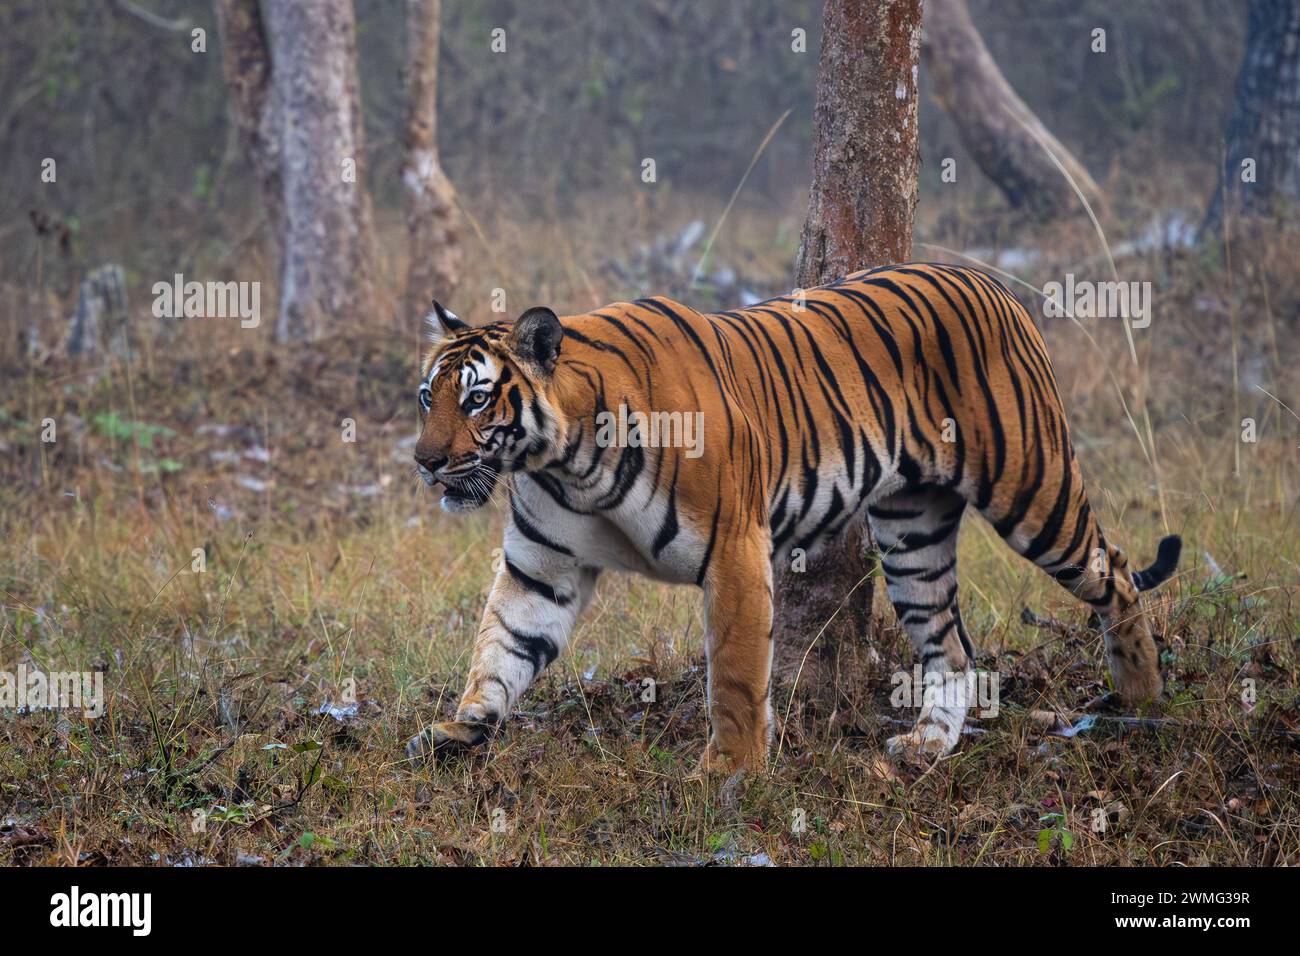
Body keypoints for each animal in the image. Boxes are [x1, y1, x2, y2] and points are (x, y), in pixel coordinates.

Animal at [404, 263, 1181, 772]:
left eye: (476, 400)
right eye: (426, 396)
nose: (425, 461)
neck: (566, 461)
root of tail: (992, 283)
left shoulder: (734, 550)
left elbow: (737, 673)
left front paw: (731, 772)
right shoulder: (543, 566)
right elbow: (501, 648)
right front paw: (460, 728)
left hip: (1032, 490)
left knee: (1114, 572)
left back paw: (1143, 694)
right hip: (913, 533)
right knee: (952, 647)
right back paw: (927, 745)